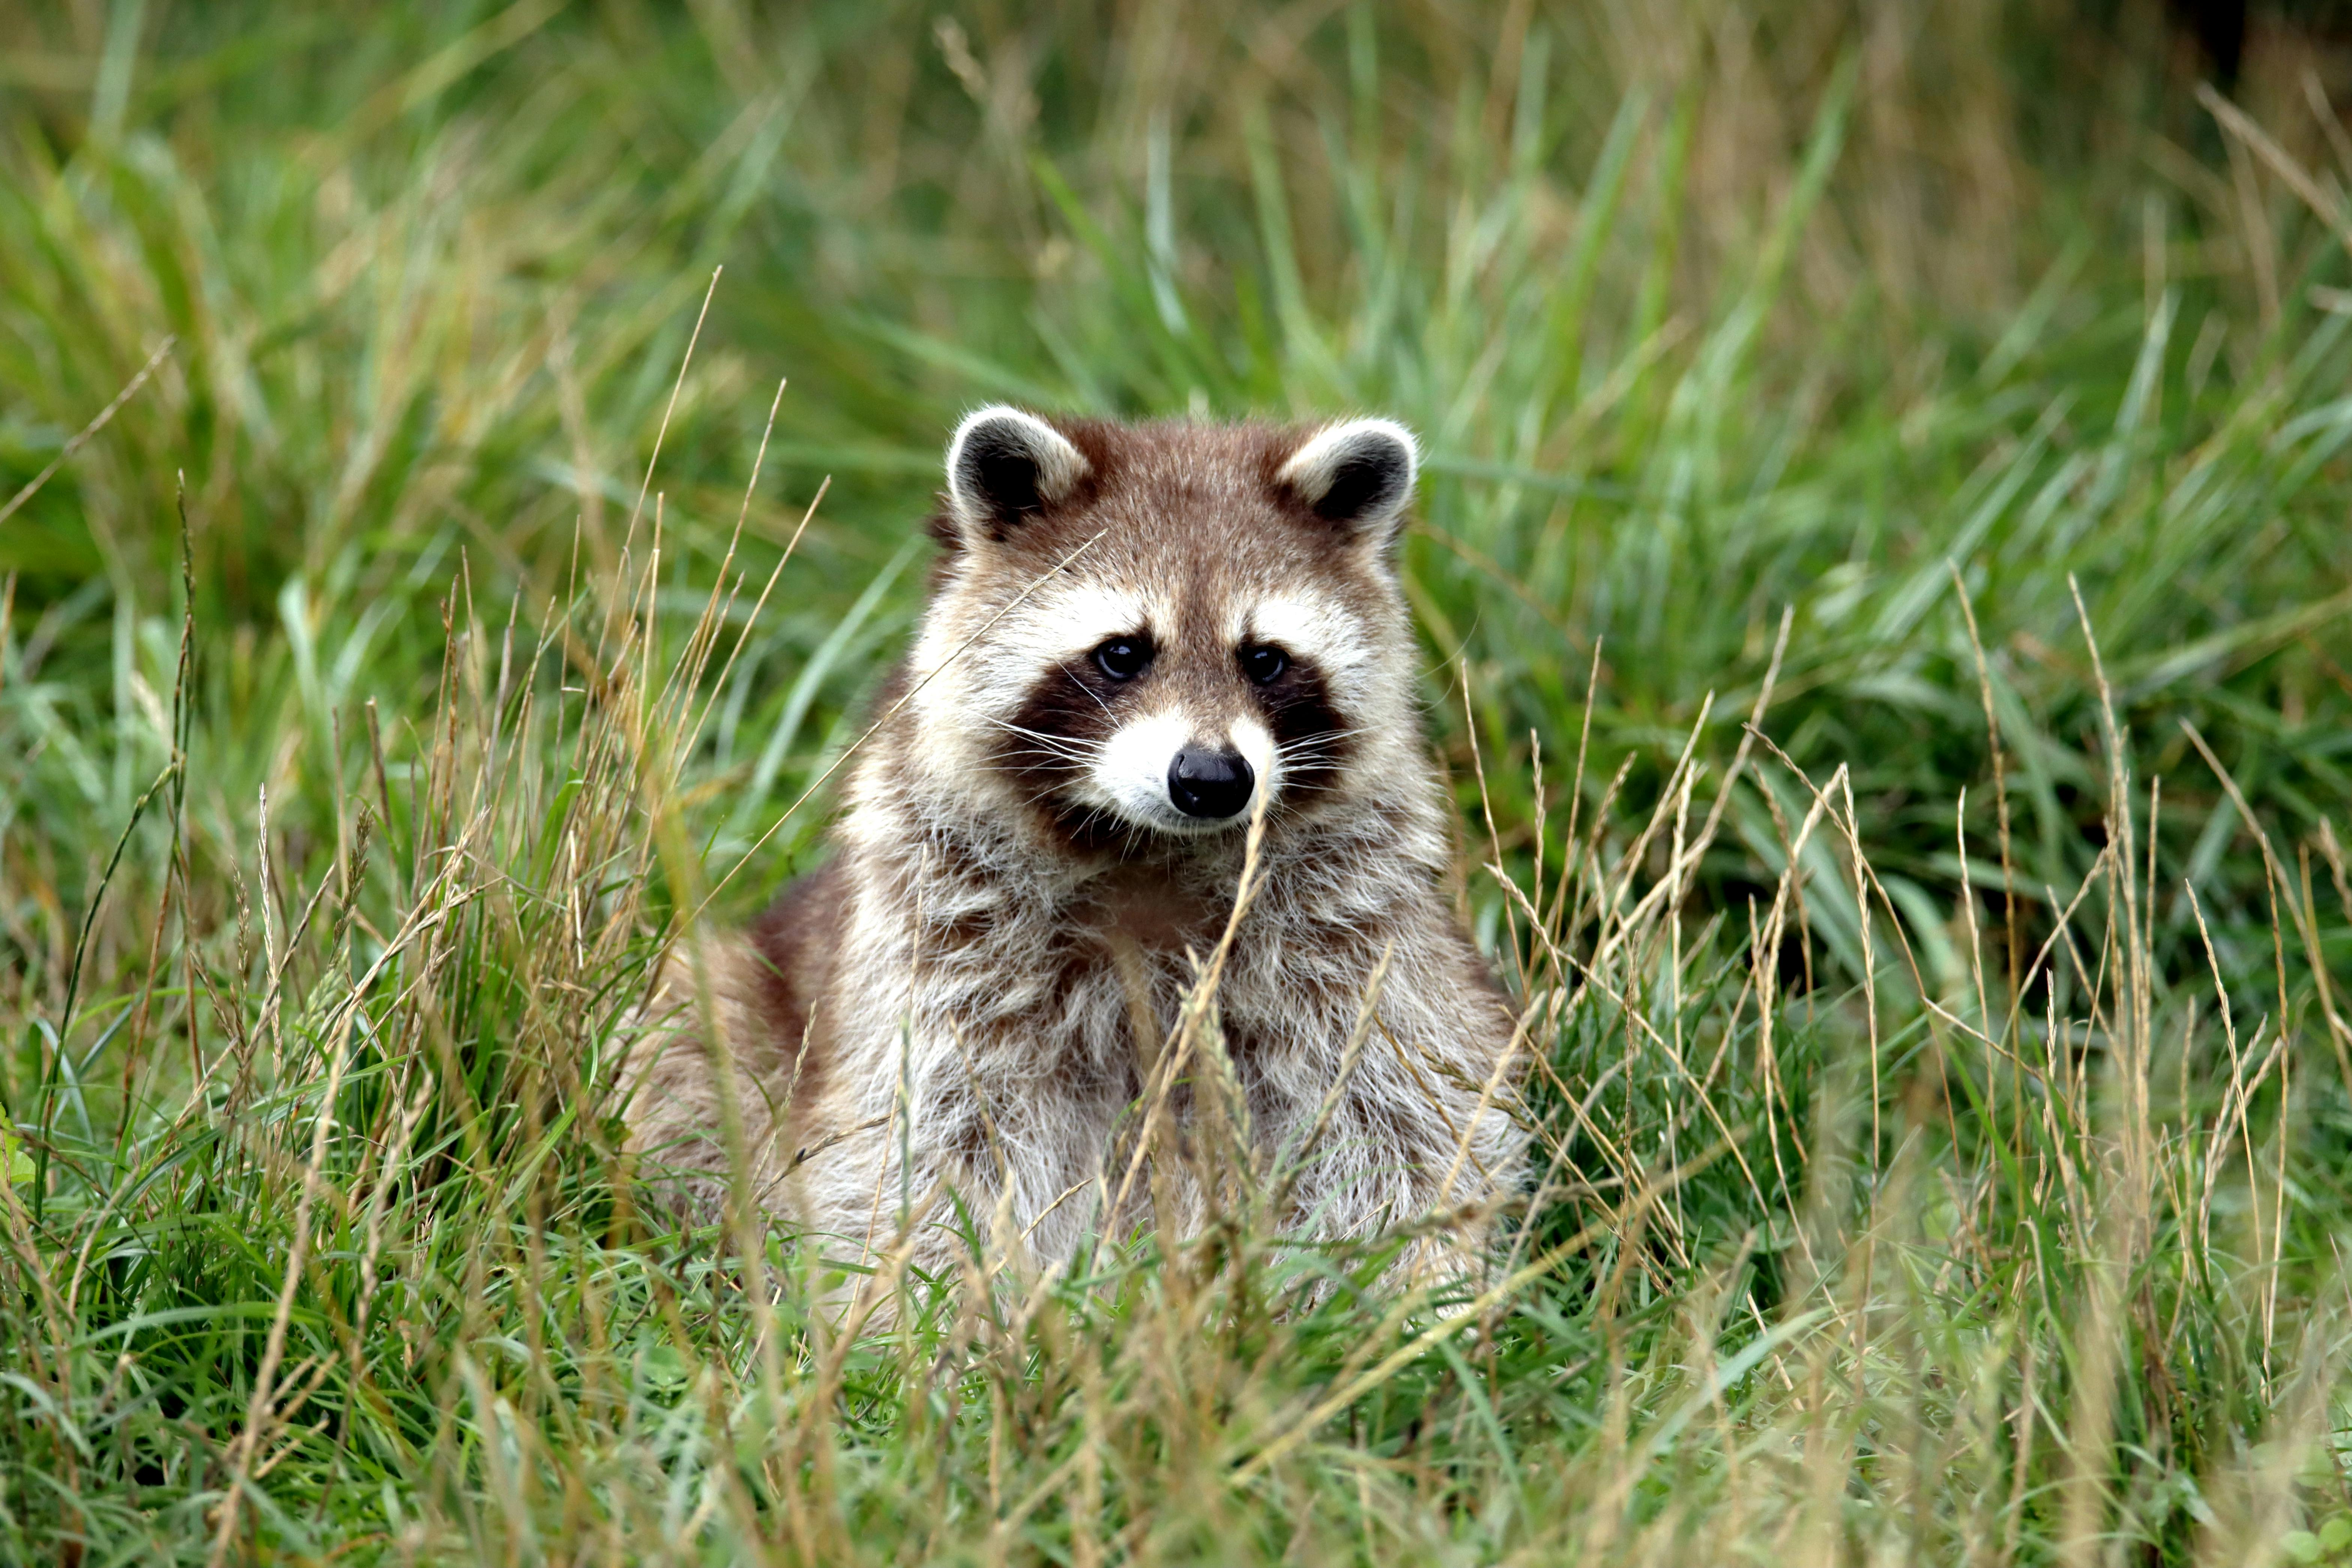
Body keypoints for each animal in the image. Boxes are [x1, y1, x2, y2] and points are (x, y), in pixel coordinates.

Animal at [626, 408, 1525, 1284]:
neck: (1154, 846)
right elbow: (931, 1143)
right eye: (1122, 654)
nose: (1210, 779)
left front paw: (1408, 1293)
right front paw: (937, 1313)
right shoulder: (939, 939)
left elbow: (1409, 1118)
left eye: (1266, 661)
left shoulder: (1357, 932)